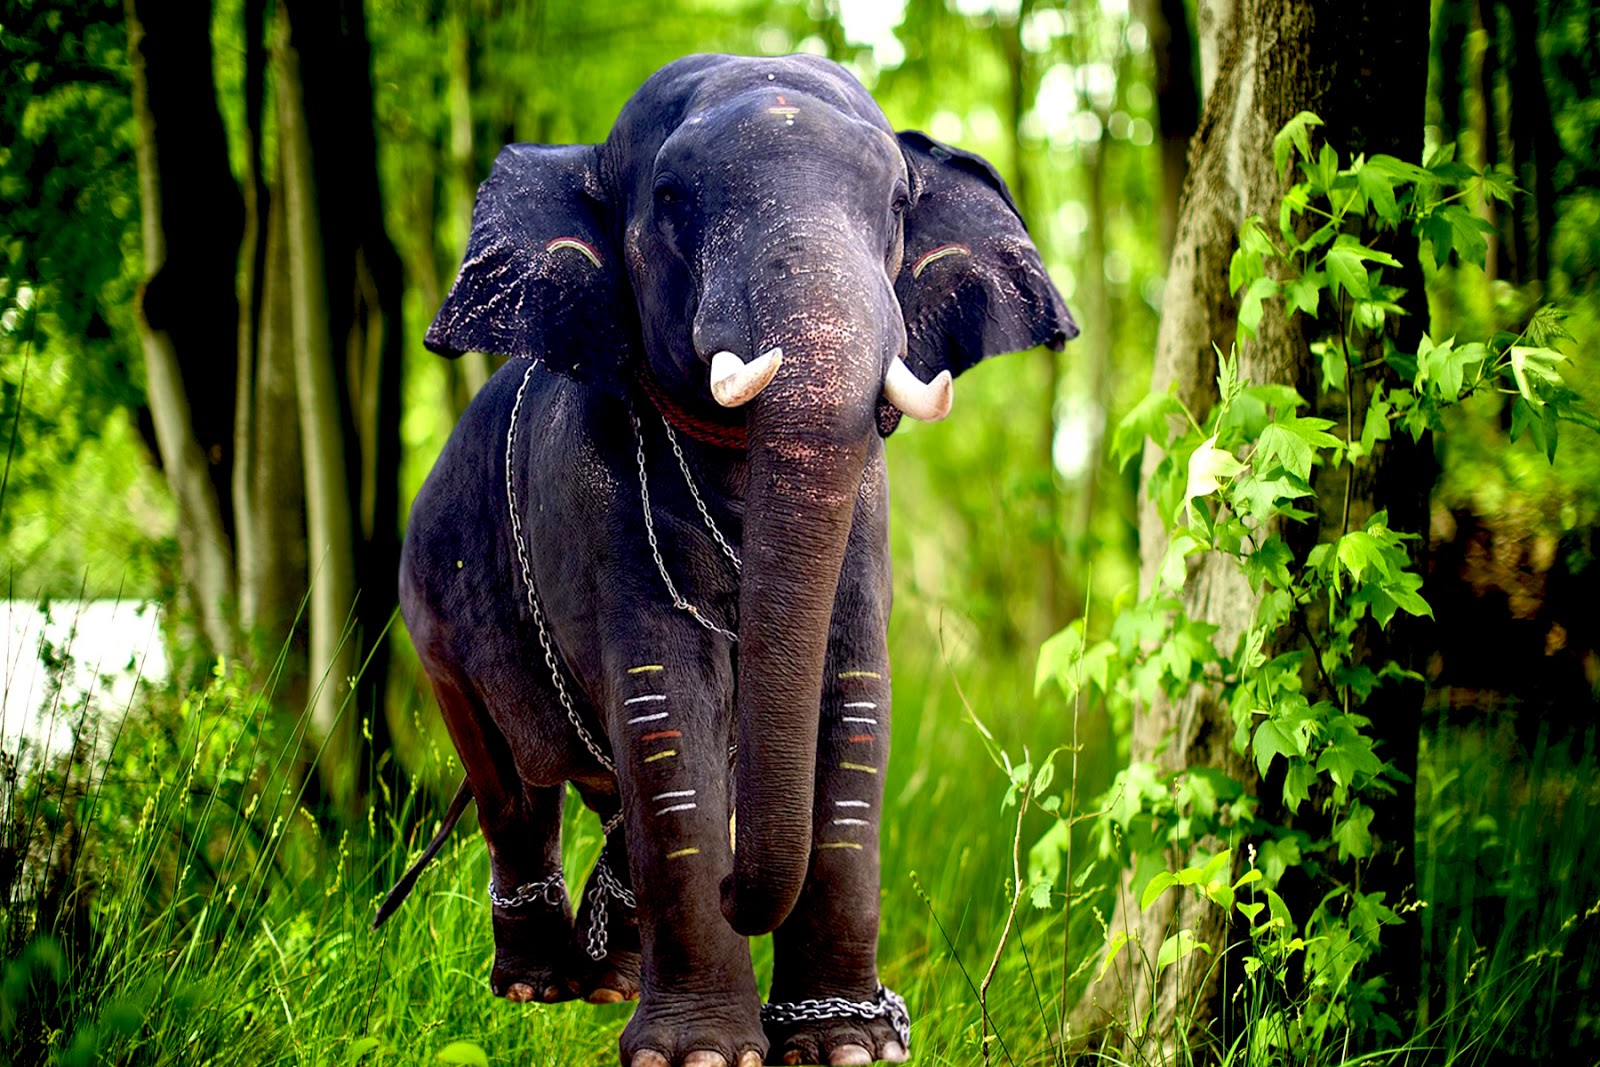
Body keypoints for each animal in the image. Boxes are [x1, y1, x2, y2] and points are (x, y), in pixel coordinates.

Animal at [393, 53, 1076, 1067]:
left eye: (898, 201)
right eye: (672, 197)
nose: (734, 887)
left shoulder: (869, 518)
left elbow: (854, 702)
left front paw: (847, 1046)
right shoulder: (600, 494)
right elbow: (667, 708)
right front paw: (706, 1053)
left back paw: (610, 974)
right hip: (432, 615)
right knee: (515, 788)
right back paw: (535, 986)